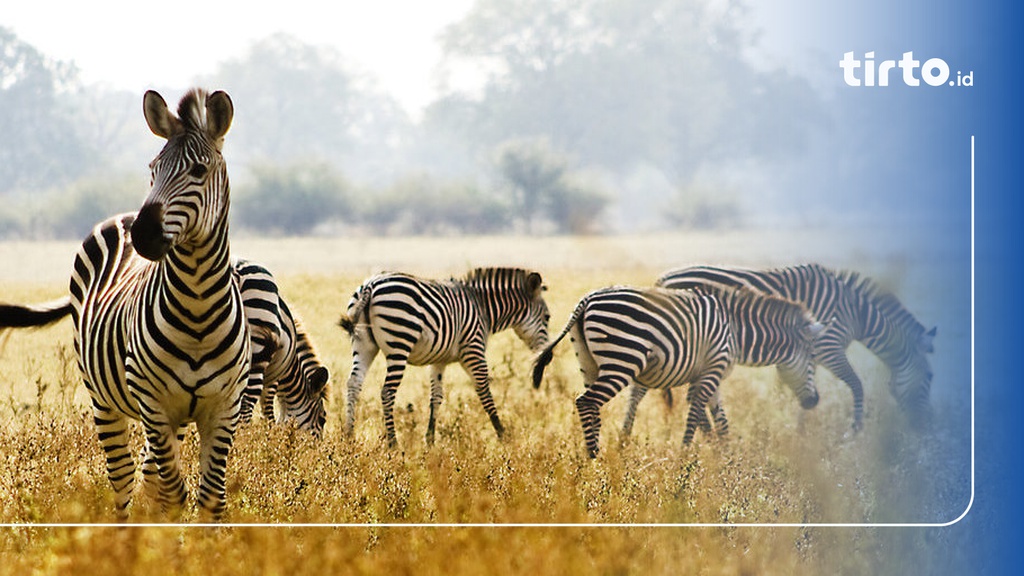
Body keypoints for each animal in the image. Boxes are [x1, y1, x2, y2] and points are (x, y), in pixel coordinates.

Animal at [0, 89, 247, 520]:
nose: (143, 234)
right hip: (105, 400)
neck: (198, 306)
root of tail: (123, 215)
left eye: (199, 170)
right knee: (124, 478)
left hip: (172, 418)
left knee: (147, 476)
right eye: (153, 168)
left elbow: (211, 497)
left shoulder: (224, 407)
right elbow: (173, 493)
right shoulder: (152, 402)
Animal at [234, 258, 330, 435]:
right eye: (322, 419)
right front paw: (269, 434)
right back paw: (243, 439)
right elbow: (269, 411)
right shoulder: (274, 377)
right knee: (245, 409)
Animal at [338, 267, 550, 447]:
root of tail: (371, 285)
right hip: (400, 343)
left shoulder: (438, 361)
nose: (547, 358)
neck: (483, 307)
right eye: (547, 317)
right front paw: (503, 435)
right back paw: (393, 443)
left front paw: (430, 440)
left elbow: (436, 397)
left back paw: (349, 436)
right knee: (387, 392)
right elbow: (485, 392)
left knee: (354, 383)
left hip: (364, 344)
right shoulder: (473, 350)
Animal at [531, 286, 822, 458]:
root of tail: (586, 299)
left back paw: (594, 457)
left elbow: (720, 418)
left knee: (592, 407)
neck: (735, 330)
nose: (814, 401)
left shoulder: (711, 372)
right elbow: (696, 413)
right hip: (623, 360)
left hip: (589, 364)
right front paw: (685, 457)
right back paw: (594, 457)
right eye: (812, 359)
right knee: (586, 401)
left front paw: (725, 458)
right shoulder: (712, 369)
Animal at [655, 264, 936, 431]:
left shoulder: (810, 351)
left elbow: (805, 386)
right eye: (931, 377)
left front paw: (801, 431)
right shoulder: (829, 346)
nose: (925, 428)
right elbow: (857, 385)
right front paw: (855, 430)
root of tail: (662, 279)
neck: (856, 314)